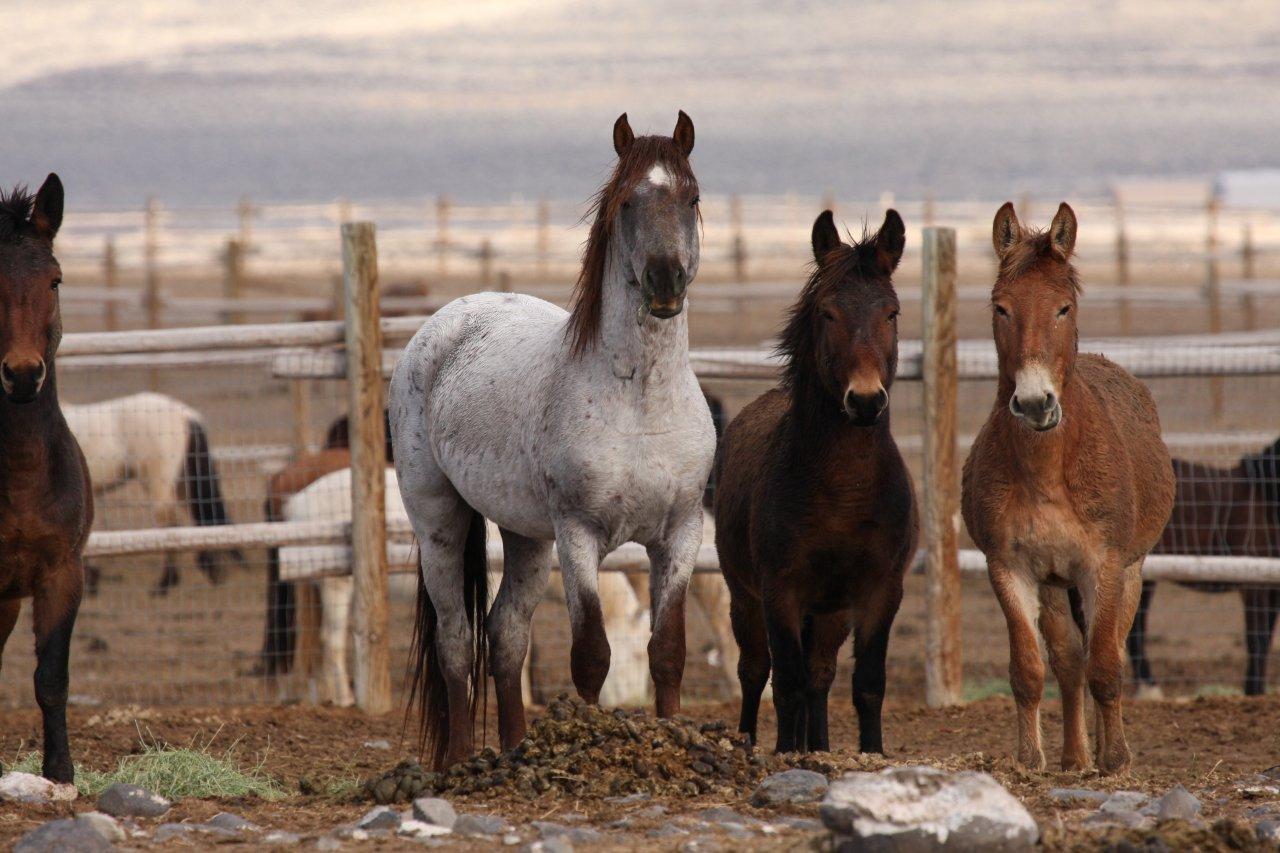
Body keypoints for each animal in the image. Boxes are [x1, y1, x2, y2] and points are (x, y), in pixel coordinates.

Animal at [65, 392, 241, 596]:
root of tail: (186, 415)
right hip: (181, 483)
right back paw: (211, 570)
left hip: (160, 484)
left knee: (170, 524)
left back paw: (165, 583)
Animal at [390, 111, 714, 768]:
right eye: (626, 201)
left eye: (691, 198)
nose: (665, 281)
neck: (641, 401)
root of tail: (442, 325)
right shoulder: (579, 535)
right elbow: (591, 656)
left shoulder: (680, 534)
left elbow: (667, 651)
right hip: (439, 521)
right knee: (457, 640)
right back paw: (458, 764)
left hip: (526, 537)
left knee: (506, 635)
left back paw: (516, 753)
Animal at [715, 209, 916, 754]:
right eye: (827, 313)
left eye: (891, 313)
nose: (865, 401)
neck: (844, 493)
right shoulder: (780, 592)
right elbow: (784, 680)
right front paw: (787, 751)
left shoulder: (879, 592)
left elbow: (866, 683)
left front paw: (870, 752)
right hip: (745, 598)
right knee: (754, 670)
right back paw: (748, 740)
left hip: (829, 612)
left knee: (820, 674)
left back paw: (819, 745)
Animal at [961, 202, 1175, 775]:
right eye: (1001, 308)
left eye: (1063, 307)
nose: (1036, 403)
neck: (1047, 470)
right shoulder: (1010, 569)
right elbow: (1031, 669)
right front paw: (1029, 759)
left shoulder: (1104, 566)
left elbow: (1106, 665)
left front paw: (1117, 760)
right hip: (1056, 584)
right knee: (1068, 660)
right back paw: (1076, 756)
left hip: (1128, 572)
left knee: (1108, 651)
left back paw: (1101, 750)